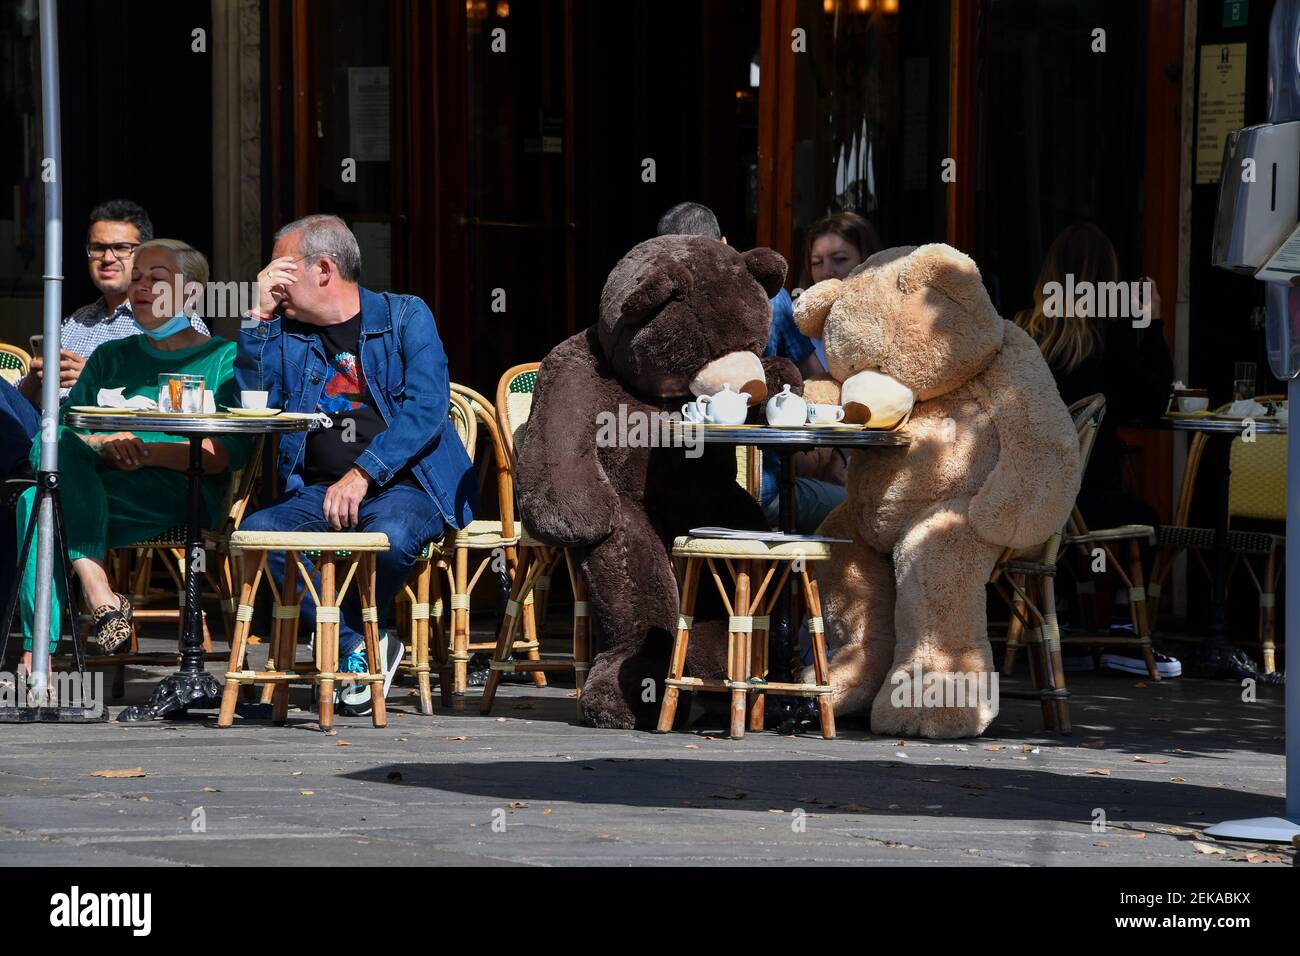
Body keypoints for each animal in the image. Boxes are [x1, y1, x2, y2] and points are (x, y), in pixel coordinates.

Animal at [517, 235, 802, 729]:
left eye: (752, 339)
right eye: (708, 348)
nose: (753, 383)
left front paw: (785, 378)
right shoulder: (573, 370)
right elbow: (559, 436)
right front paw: (575, 514)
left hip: (726, 510)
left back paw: (718, 662)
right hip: (640, 525)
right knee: (632, 574)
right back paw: (632, 689)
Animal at [793, 243, 1082, 738]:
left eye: (883, 364)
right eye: (849, 367)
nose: (856, 405)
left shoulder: (1014, 363)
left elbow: (1044, 441)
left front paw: (1002, 515)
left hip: (942, 528)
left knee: (935, 572)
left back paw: (930, 703)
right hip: (854, 531)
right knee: (849, 575)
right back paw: (844, 684)